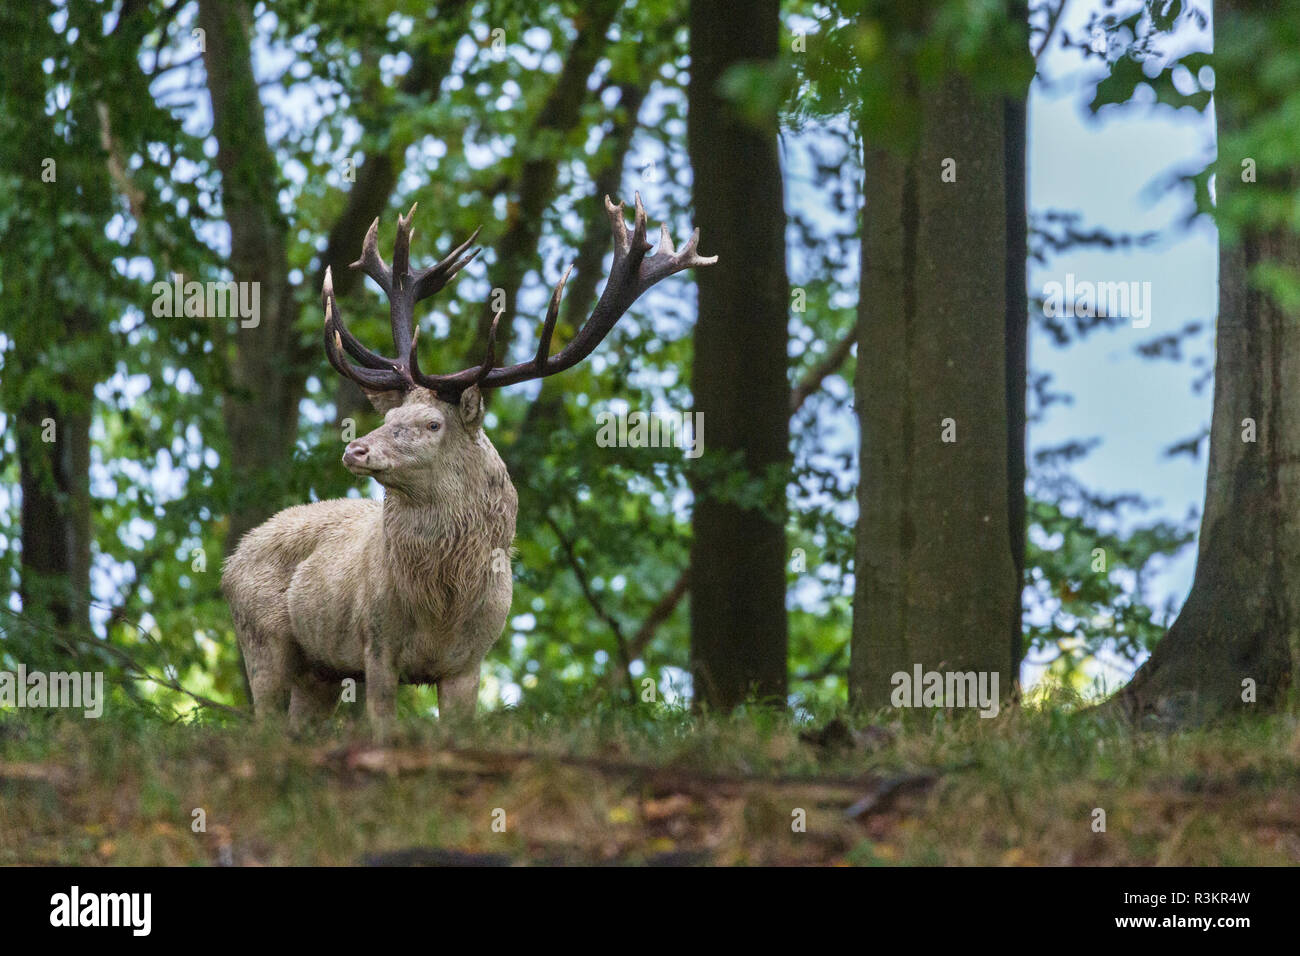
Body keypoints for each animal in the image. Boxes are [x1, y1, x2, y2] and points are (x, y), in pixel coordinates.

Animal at [222, 194, 714, 732]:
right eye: (389, 415)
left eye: (433, 423)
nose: (356, 450)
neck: (443, 606)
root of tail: (233, 557)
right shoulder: (376, 643)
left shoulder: (471, 660)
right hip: (262, 642)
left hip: (320, 670)